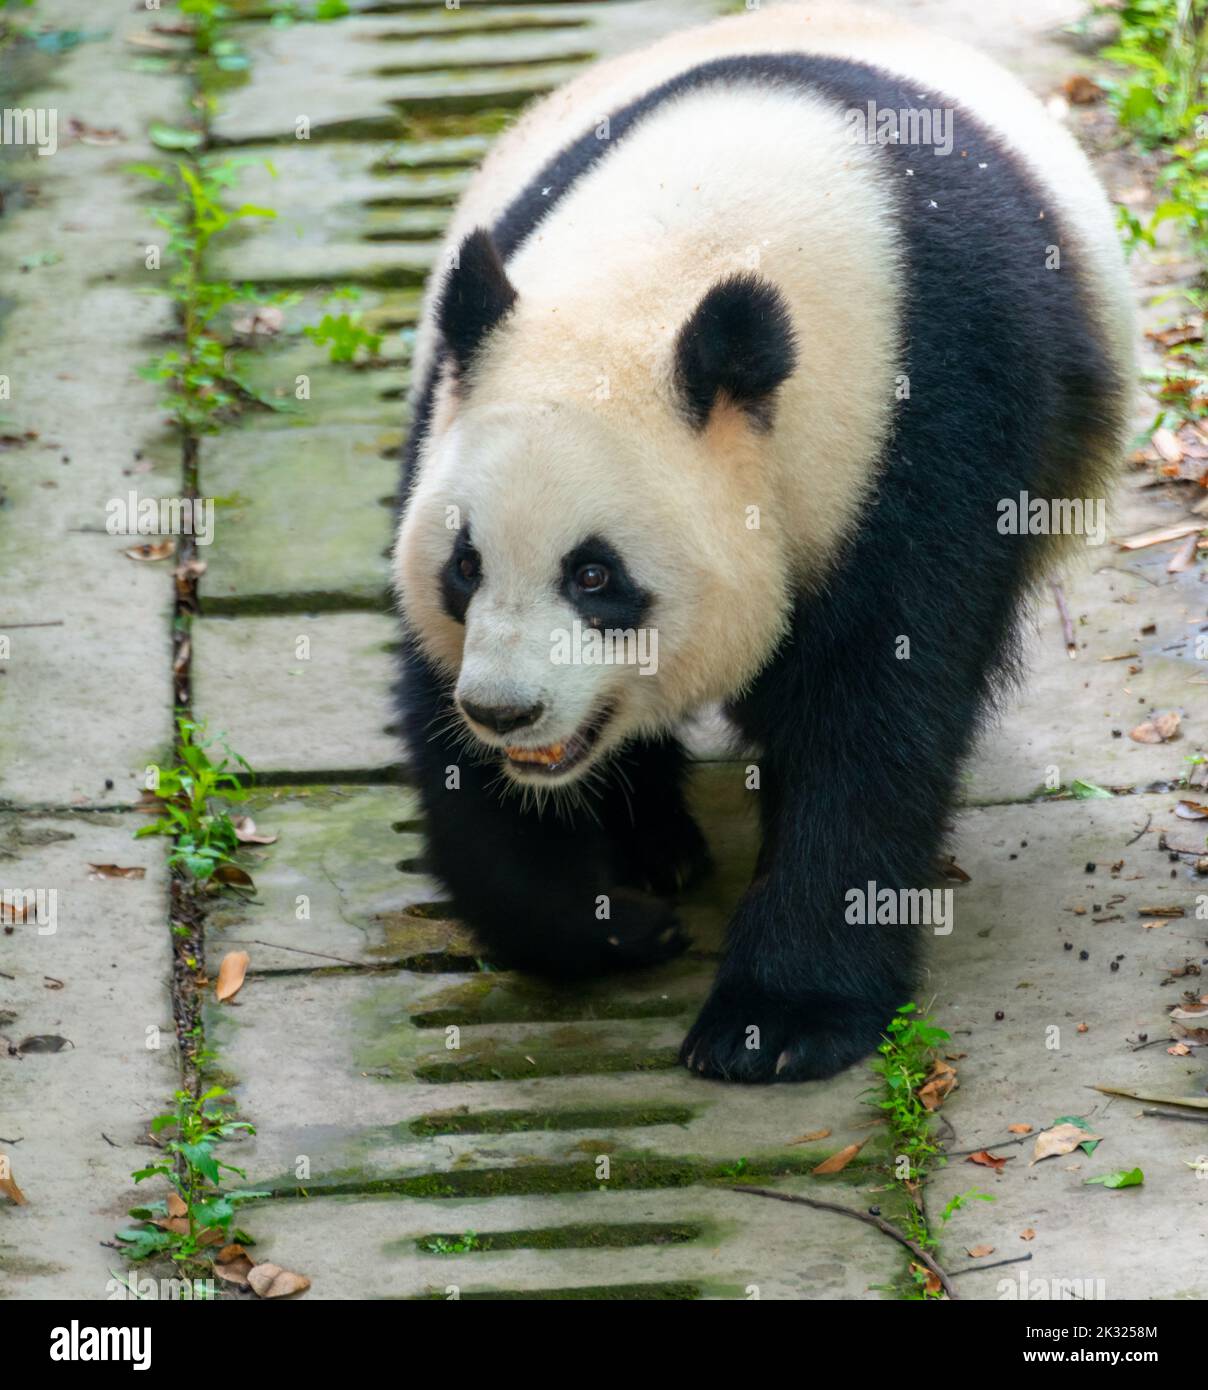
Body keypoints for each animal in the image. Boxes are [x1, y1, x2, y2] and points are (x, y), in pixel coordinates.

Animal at [392, 2, 1132, 1083]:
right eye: (464, 566)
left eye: (595, 575)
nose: (505, 711)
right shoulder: (449, 414)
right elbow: (438, 723)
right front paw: (606, 924)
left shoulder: (938, 411)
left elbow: (878, 708)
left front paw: (778, 1020)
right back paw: (655, 843)